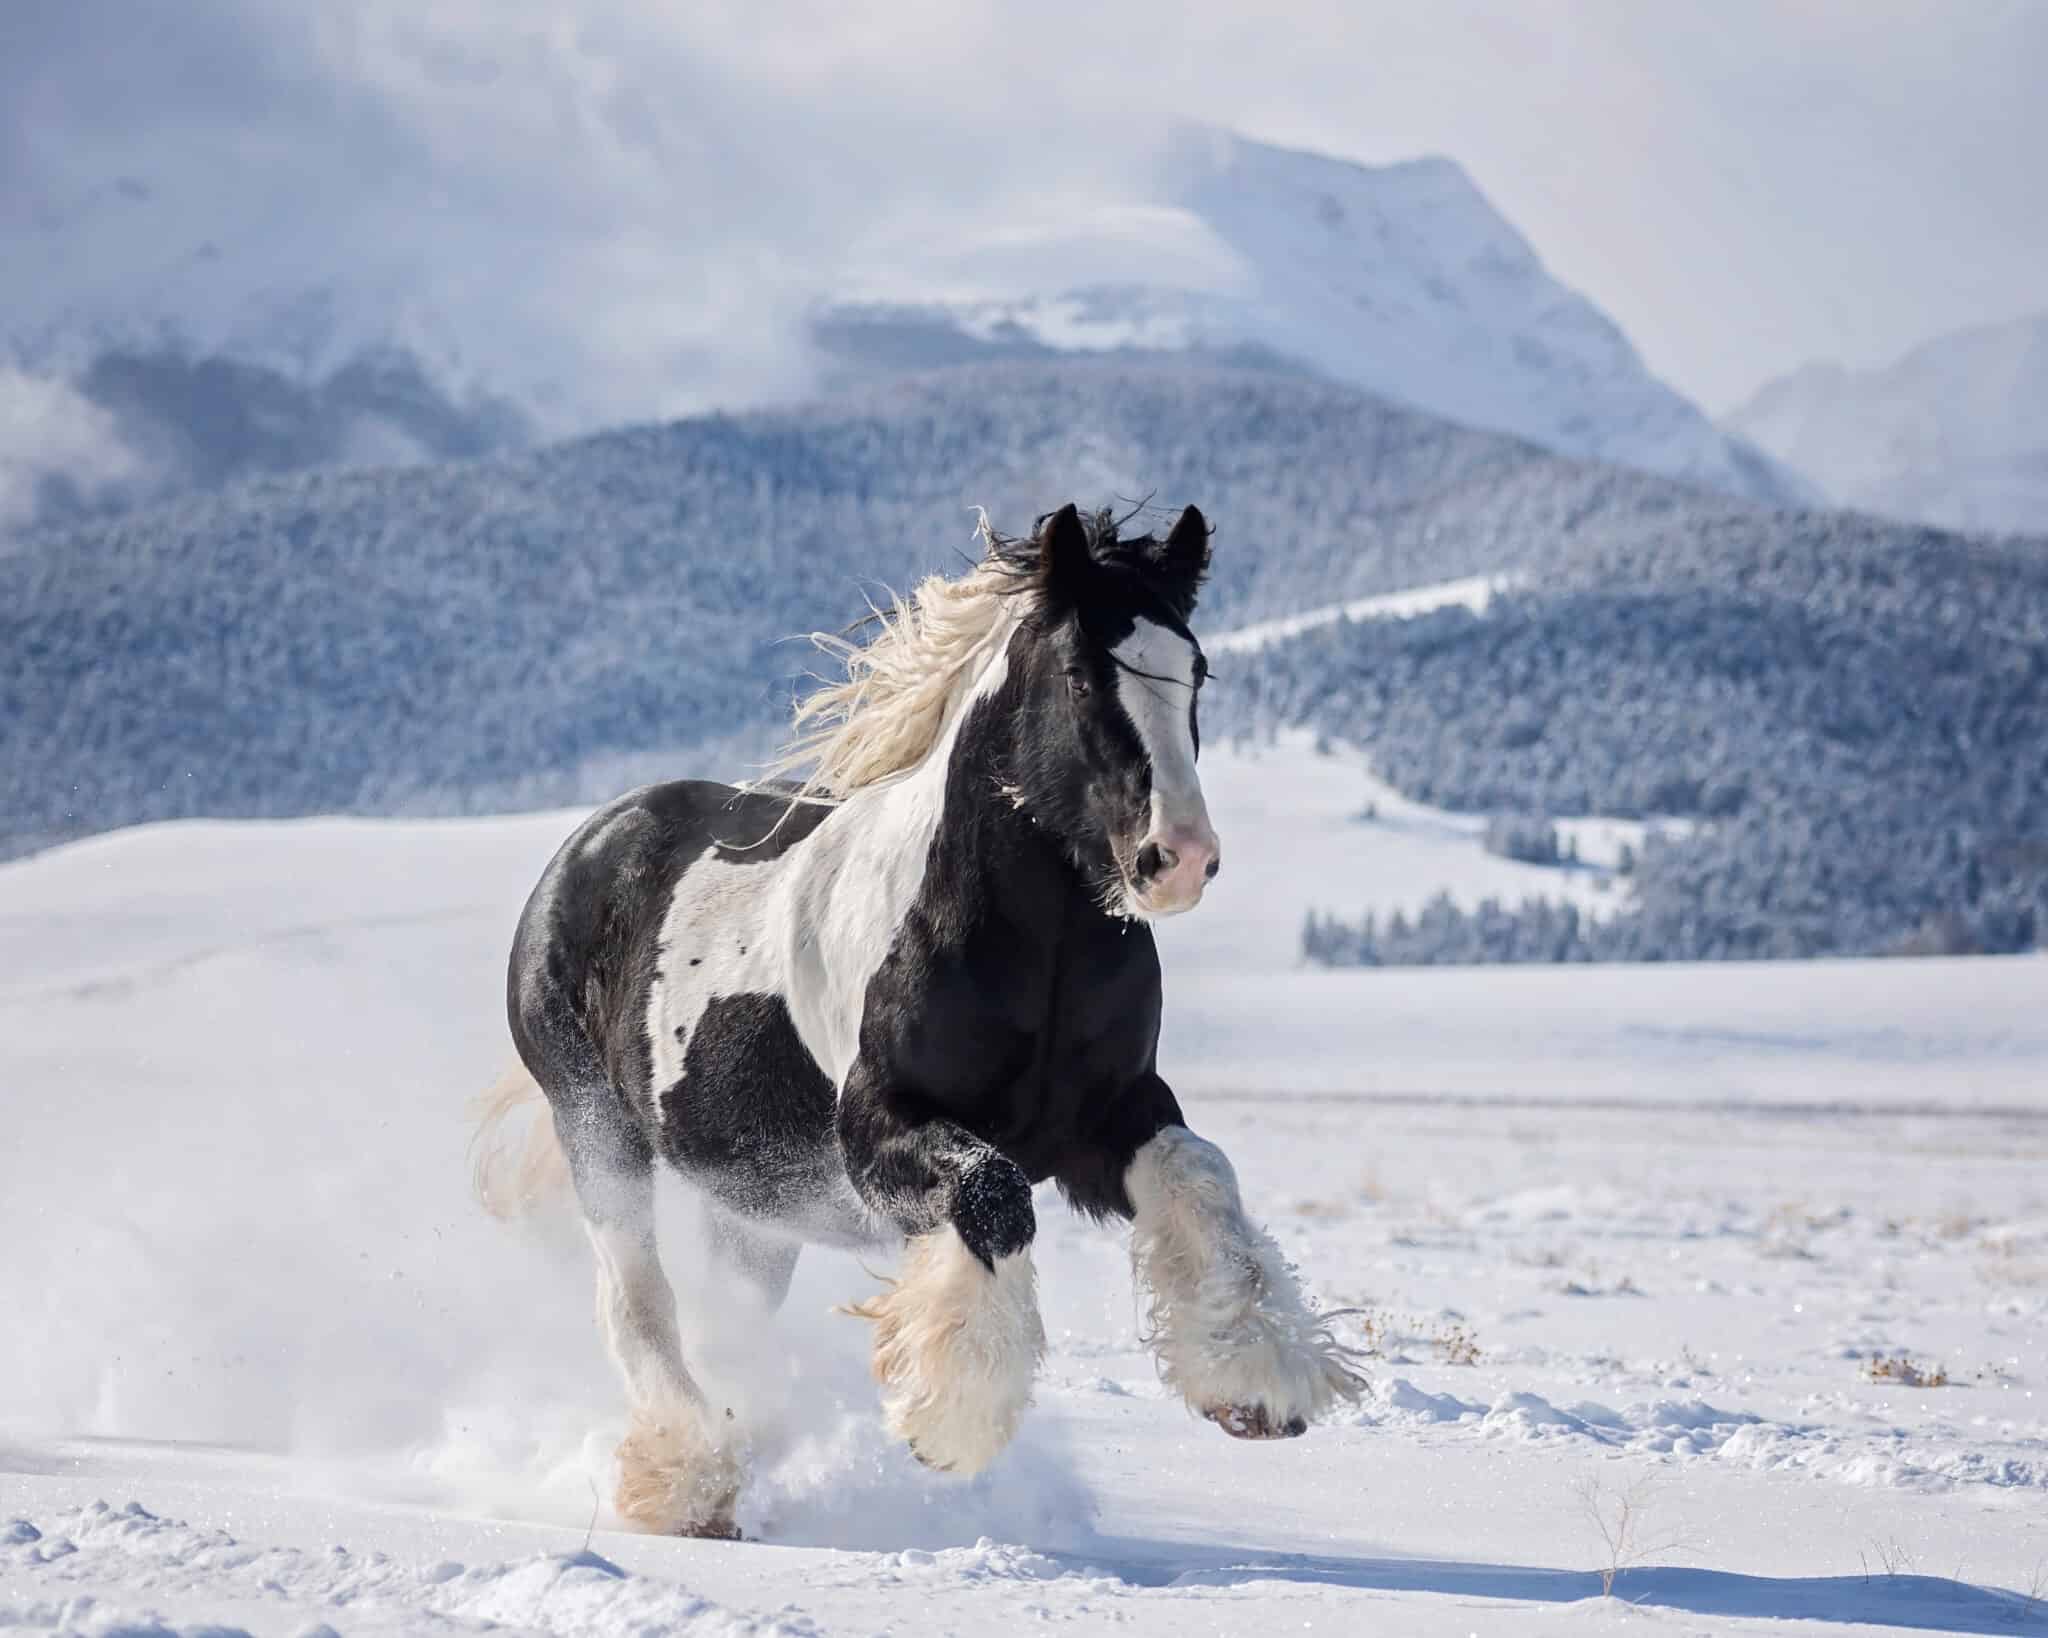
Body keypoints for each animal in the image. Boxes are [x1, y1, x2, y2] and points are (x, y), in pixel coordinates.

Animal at [477, 502, 1363, 1539]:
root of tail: (587, 847)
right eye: (1079, 674)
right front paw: (955, 1420)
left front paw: (1256, 1384)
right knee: (638, 1303)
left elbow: (1202, 1174)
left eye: (1197, 669)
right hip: (599, 1133)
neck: (1032, 944)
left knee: (730, 1326)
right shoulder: (880, 1132)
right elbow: (992, 1195)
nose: (1176, 857)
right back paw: (690, 1482)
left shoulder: (1111, 1118)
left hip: (754, 1207)